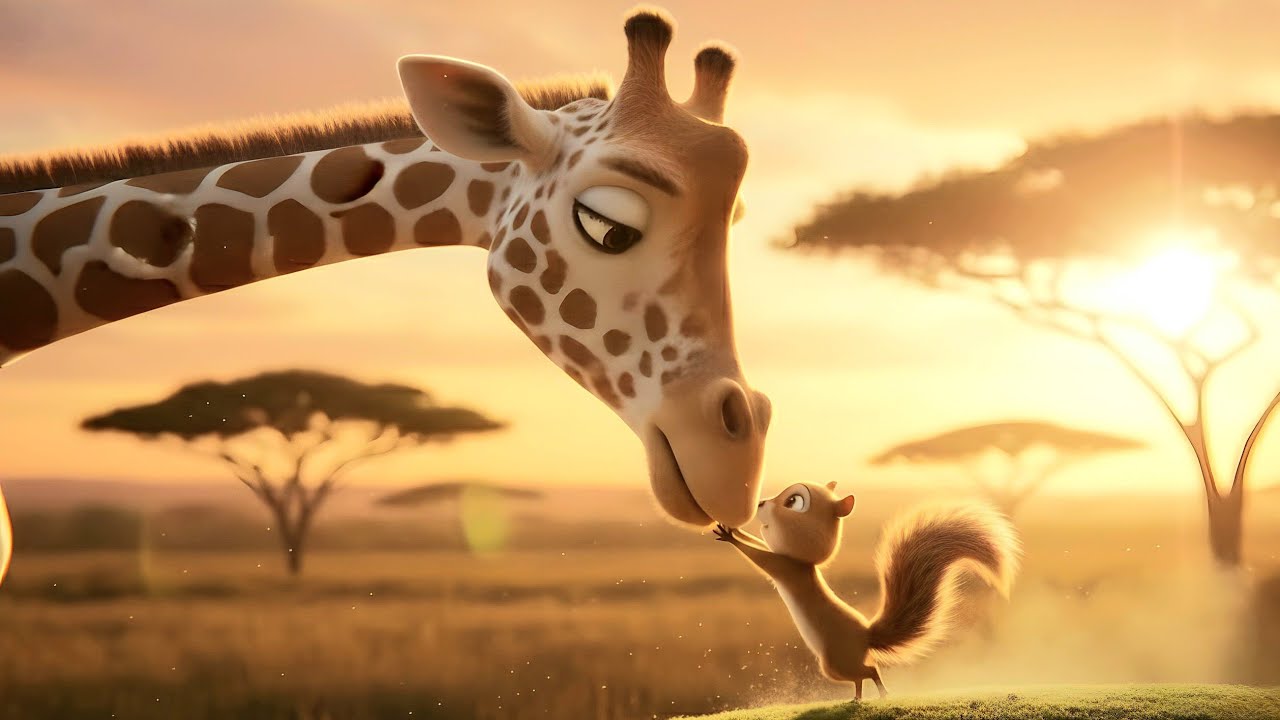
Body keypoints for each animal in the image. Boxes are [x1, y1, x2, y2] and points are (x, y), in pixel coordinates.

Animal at [713, 481, 1020, 700]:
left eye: (794, 501)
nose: (761, 502)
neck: (804, 562)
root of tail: (866, 636)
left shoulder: (785, 565)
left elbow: (760, 557)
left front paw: (730, 536)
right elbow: (759, 544)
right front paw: (734, 529)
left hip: (833, 664)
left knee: (869, 670)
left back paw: (882, 693)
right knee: (861, 677)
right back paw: (857, 699)